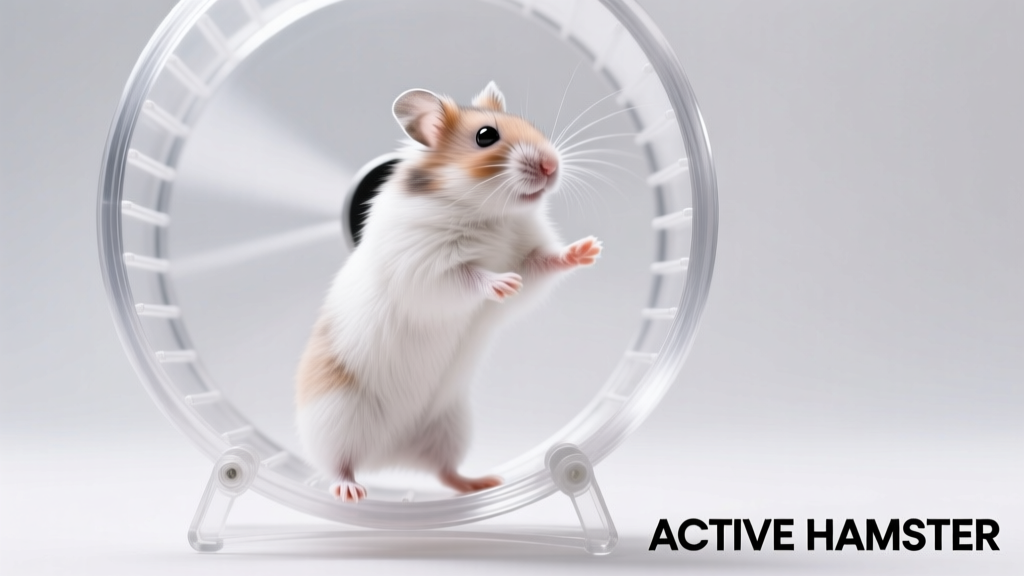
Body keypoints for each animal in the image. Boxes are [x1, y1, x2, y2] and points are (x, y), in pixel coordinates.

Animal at [295, 81, 602, 502]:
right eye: (485, 136)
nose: (551, 166)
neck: (490, 214)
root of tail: (387, 458)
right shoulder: (426, 268)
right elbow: (466, 275)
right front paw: (504, 283)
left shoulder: (529, 254)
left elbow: (545, 262)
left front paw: (589, 250)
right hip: (337, 418)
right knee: (338, 464)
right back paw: (351, 491)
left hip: (450, 426)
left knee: (444, 471)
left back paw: (483, 483)